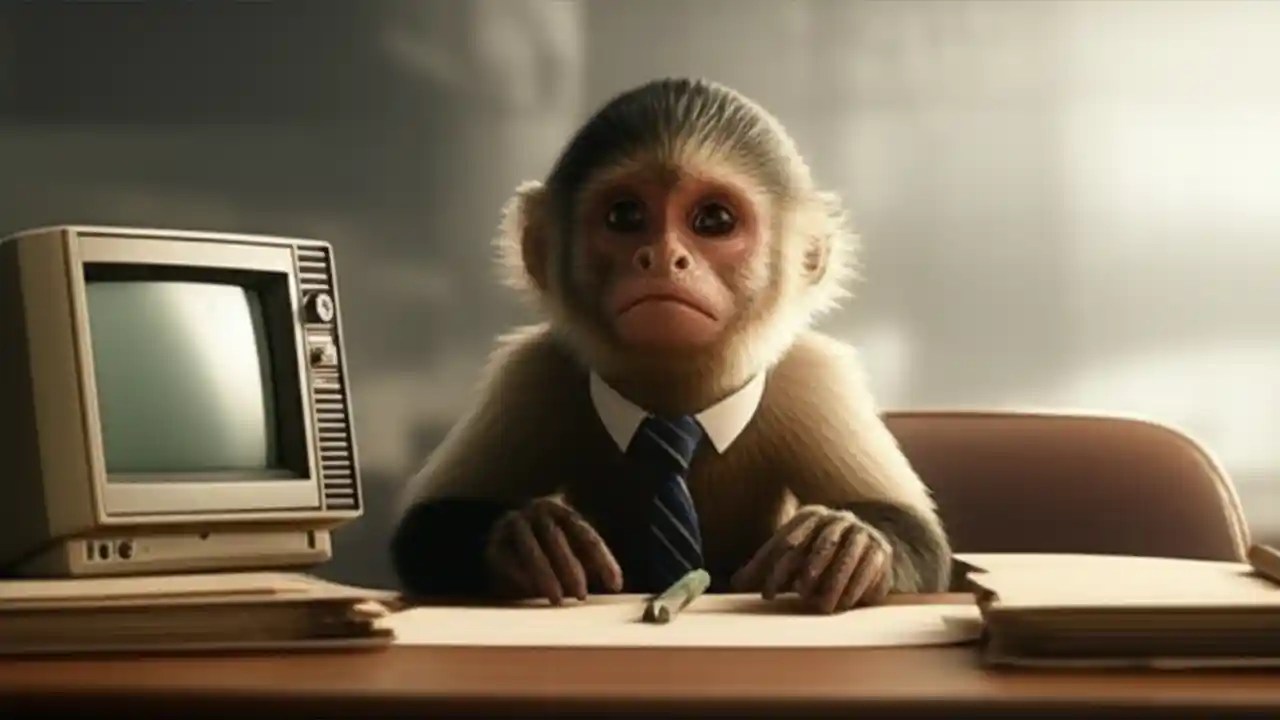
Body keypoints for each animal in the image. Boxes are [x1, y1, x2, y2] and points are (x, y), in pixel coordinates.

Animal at [391, 77, 952, 614]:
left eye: (714, 221)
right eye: (624, 216)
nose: (662, 258)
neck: (674, 411)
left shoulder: (813, 378)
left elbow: (924, 541)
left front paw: (847, 544)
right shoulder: (532, 371)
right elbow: (420, 527)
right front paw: (524, 538)